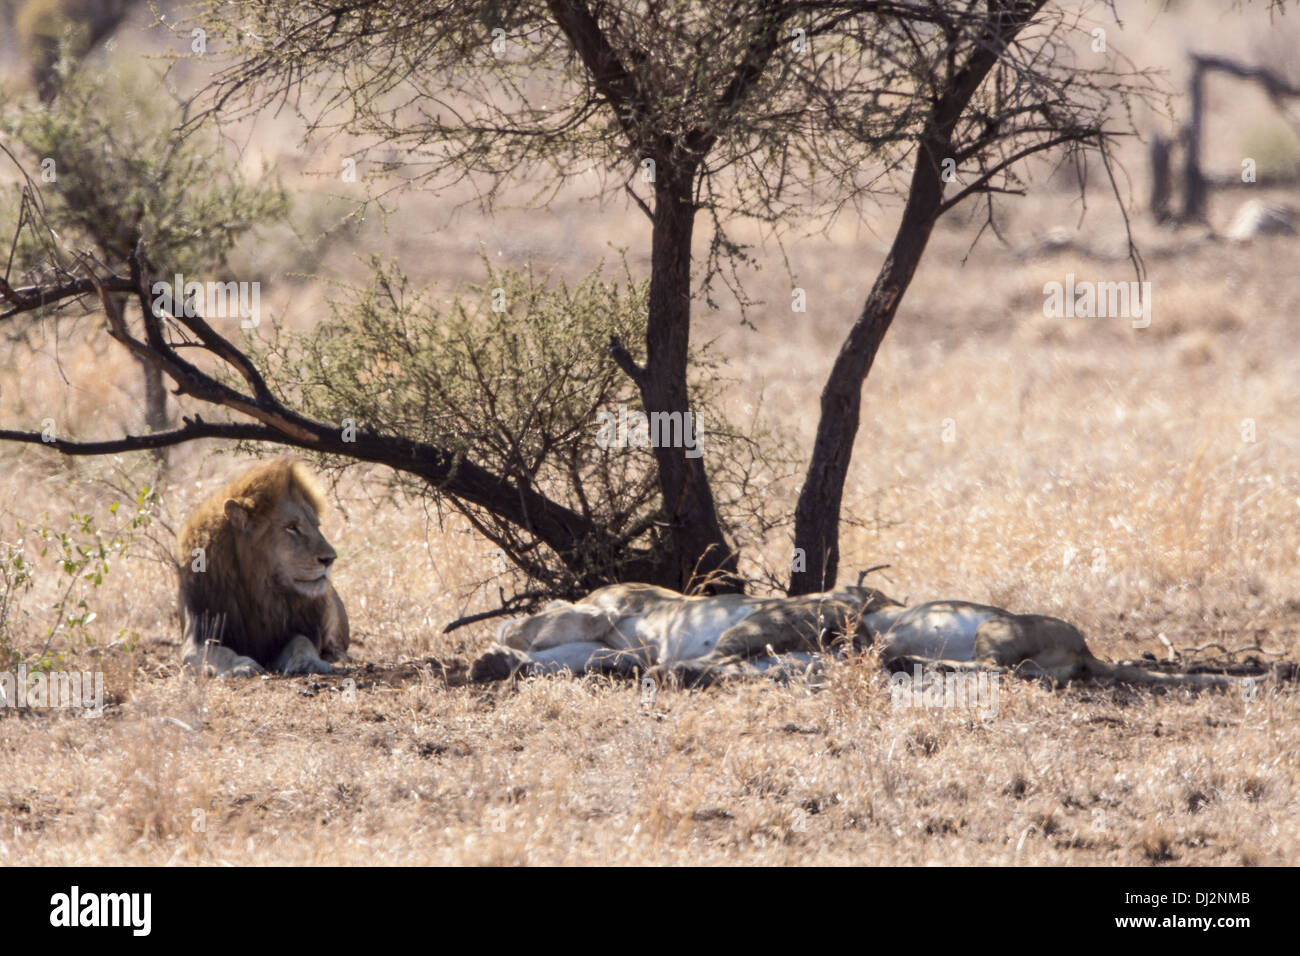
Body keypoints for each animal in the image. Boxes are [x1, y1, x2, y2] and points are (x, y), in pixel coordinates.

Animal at [177, 457, 349, 677]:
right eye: (291, 527)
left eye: (316, 526)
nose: (330, 559)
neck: (259, 590)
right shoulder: (196, 632)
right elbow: (214, 650)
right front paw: (240, 665)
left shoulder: (292, 631)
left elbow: (302, 642)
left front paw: (309, 662)